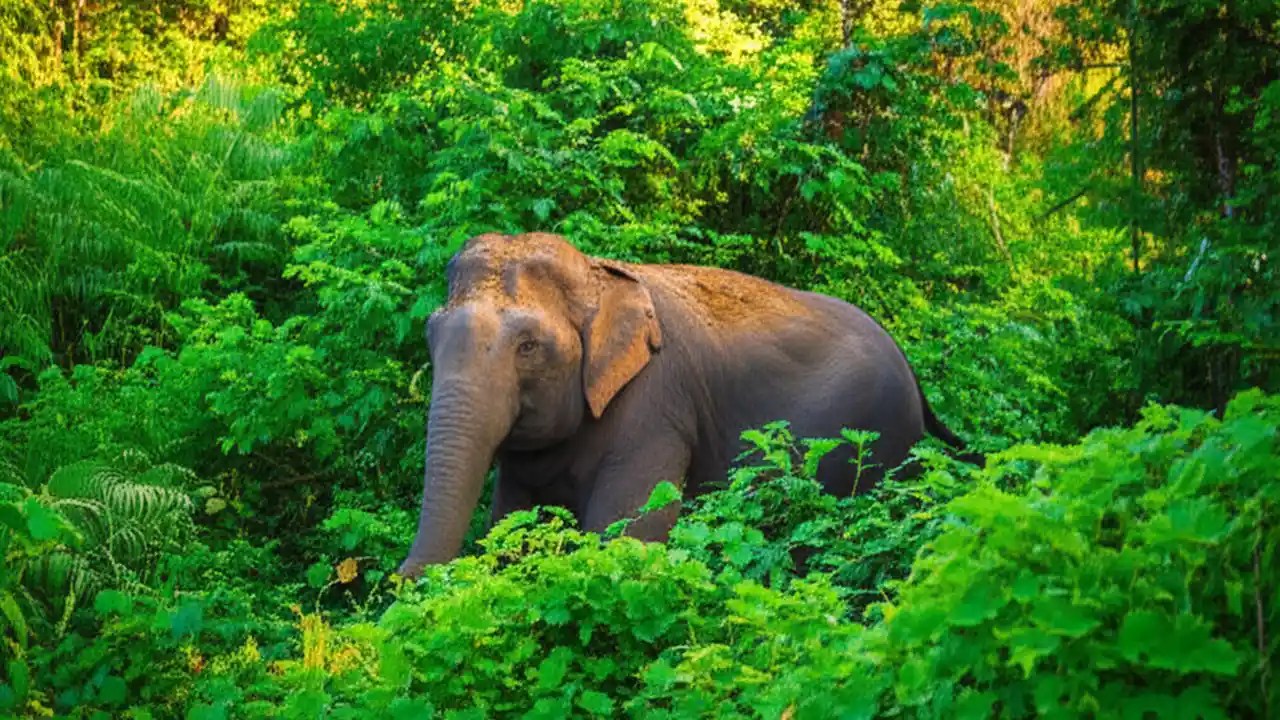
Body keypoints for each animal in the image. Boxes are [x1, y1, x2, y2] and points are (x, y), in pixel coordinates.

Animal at [397, 231, 971, 578]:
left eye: (529, 346)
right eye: (429, 333)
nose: (400, 581)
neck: (599, 275)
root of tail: (912, 370)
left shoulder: (655, 407)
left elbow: (629, 536)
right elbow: (511, 528)